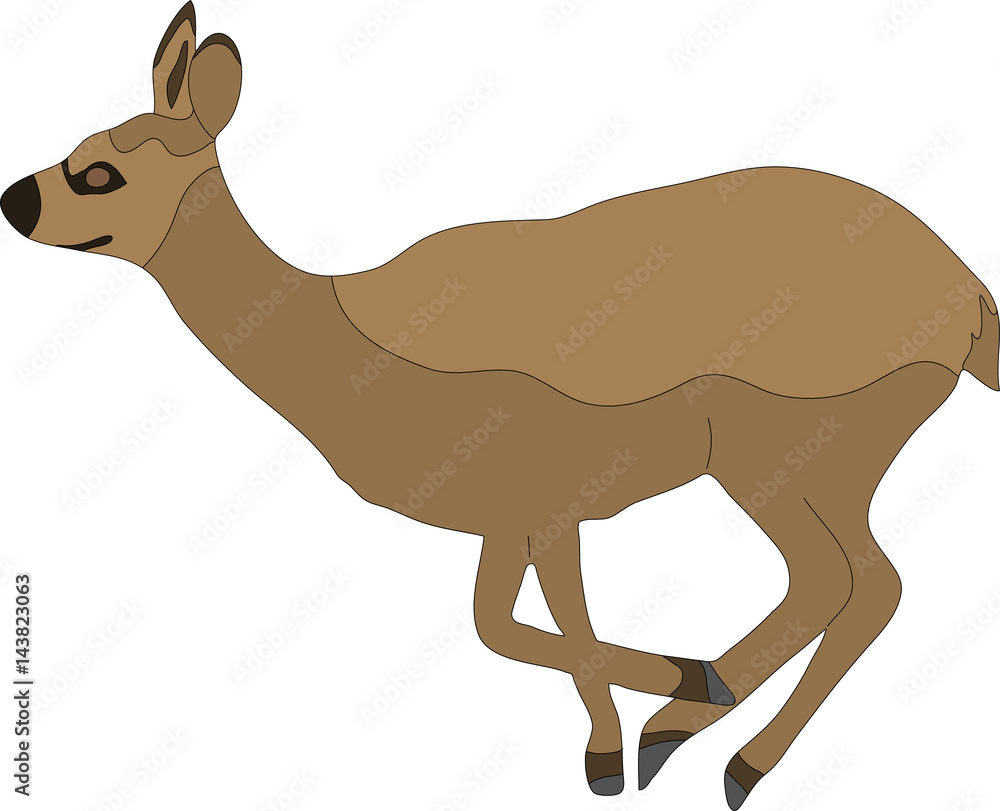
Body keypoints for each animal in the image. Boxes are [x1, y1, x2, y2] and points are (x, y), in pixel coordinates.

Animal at [3, 4, 997, 807]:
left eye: (100, 173)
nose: (14, 199)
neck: (346, 351)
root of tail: (972, 303)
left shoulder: (552, 498)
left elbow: (538, 622)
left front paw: (639, 722)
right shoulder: (509, 517)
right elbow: (504, 626)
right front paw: (617, 746)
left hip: (787, 446)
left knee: (850, 580)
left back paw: (712, 736)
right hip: (814, 461)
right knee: (854, 582)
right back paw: (697, 733)